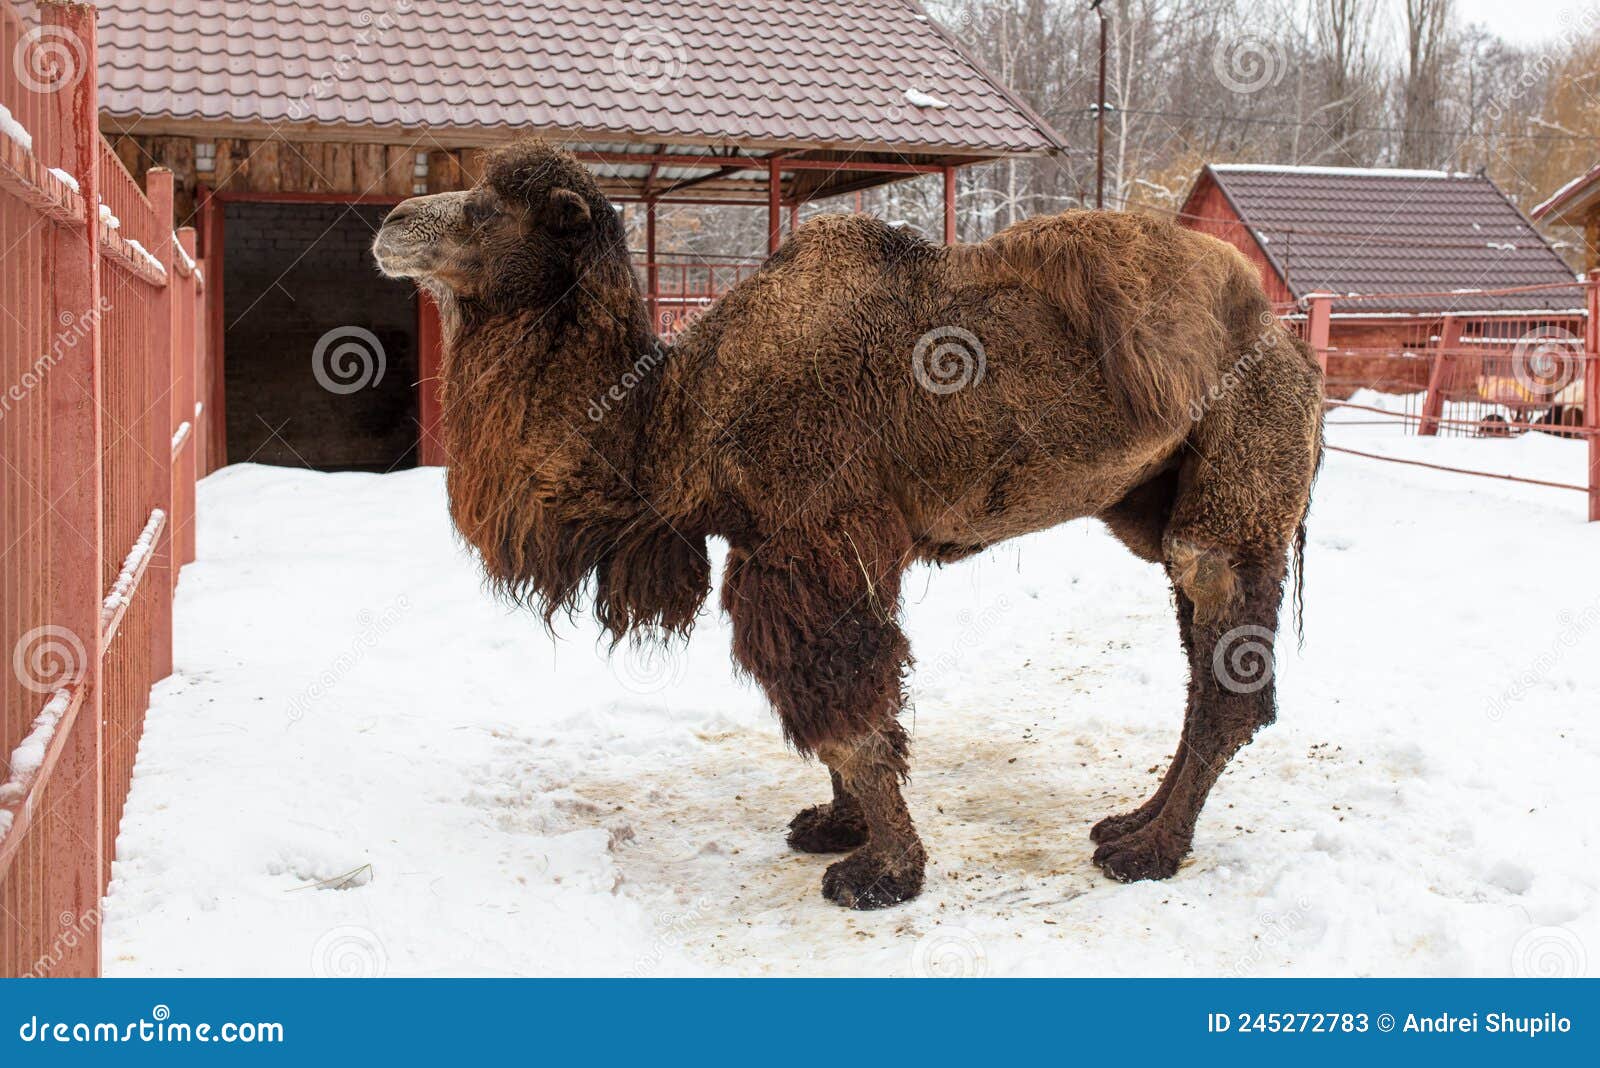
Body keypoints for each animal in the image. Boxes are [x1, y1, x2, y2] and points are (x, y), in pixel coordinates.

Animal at [373, 139, 1324, 910]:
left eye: (489, 209)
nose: (390, 223)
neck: (666, 415)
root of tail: (1292, 346)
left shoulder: (811, 538)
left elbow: (849, 714)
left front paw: (882, 872)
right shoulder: (783, 551)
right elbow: (830, 706)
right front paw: (838, 828)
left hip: (1242, 473)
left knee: (1223, 659)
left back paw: (1149, 852)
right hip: (1165, 495)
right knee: (1203, 667)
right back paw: (1128, 822)